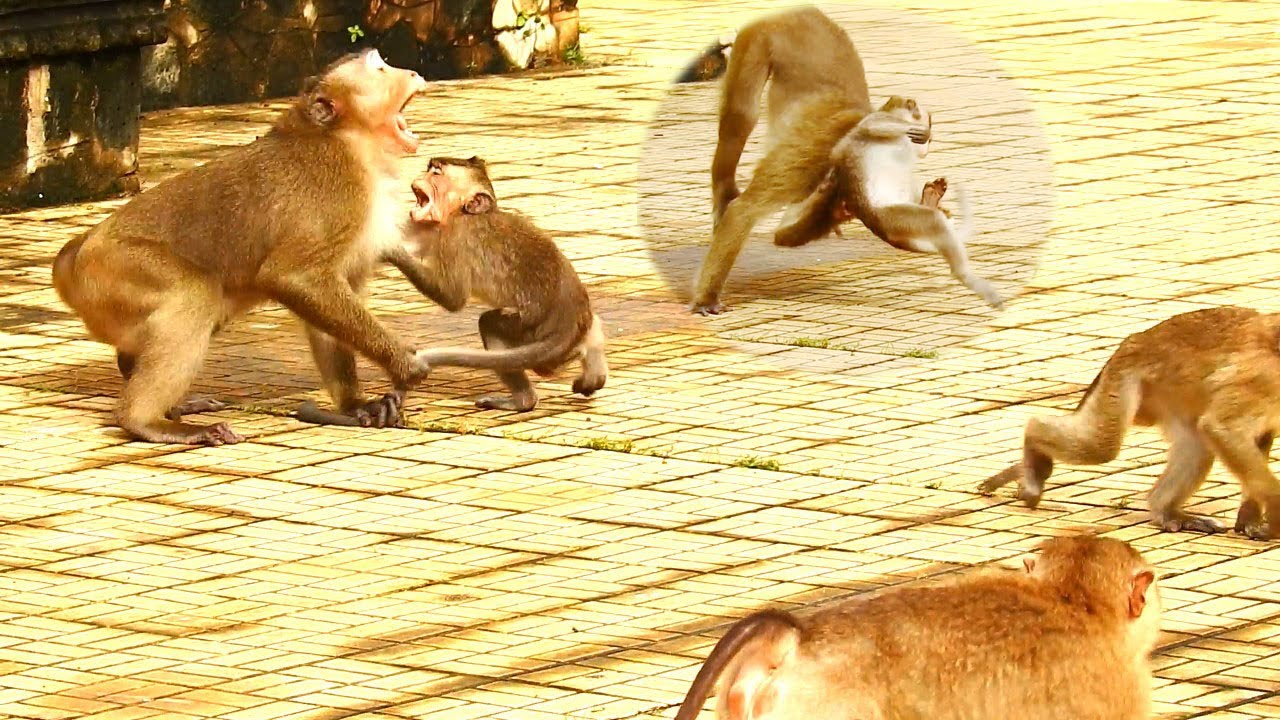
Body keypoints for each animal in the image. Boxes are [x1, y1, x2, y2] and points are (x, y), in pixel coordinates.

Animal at [51, 49, 433, 445]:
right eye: (381, 69)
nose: (412, 72)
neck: (350, 141)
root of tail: (78, 251)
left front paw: (356, 404)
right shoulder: (339, 188)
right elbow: (293, 278)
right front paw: (403, 364)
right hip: (114, 270)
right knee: (195, 295)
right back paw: (145, 420)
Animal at [295, 155, 607, 423]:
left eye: (437, 173)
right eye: (431, 168)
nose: (422, 173)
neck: (460, 214)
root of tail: (571, 321)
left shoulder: (455, 240)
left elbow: (453, 299)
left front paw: (387, 246)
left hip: (530, 328)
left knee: (492, 324)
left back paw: (524, 399)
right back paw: (590, 364)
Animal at [981, 306, 1280, 540]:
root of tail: (1137, 340)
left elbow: (1255, 437)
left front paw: (1250, 520)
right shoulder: (1263, 379)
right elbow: (1222, 428)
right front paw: (1275, 517)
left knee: (1197, 446)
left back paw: (1165, 510)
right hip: (1125, 377)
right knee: (1101, 447)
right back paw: (1034, 440)